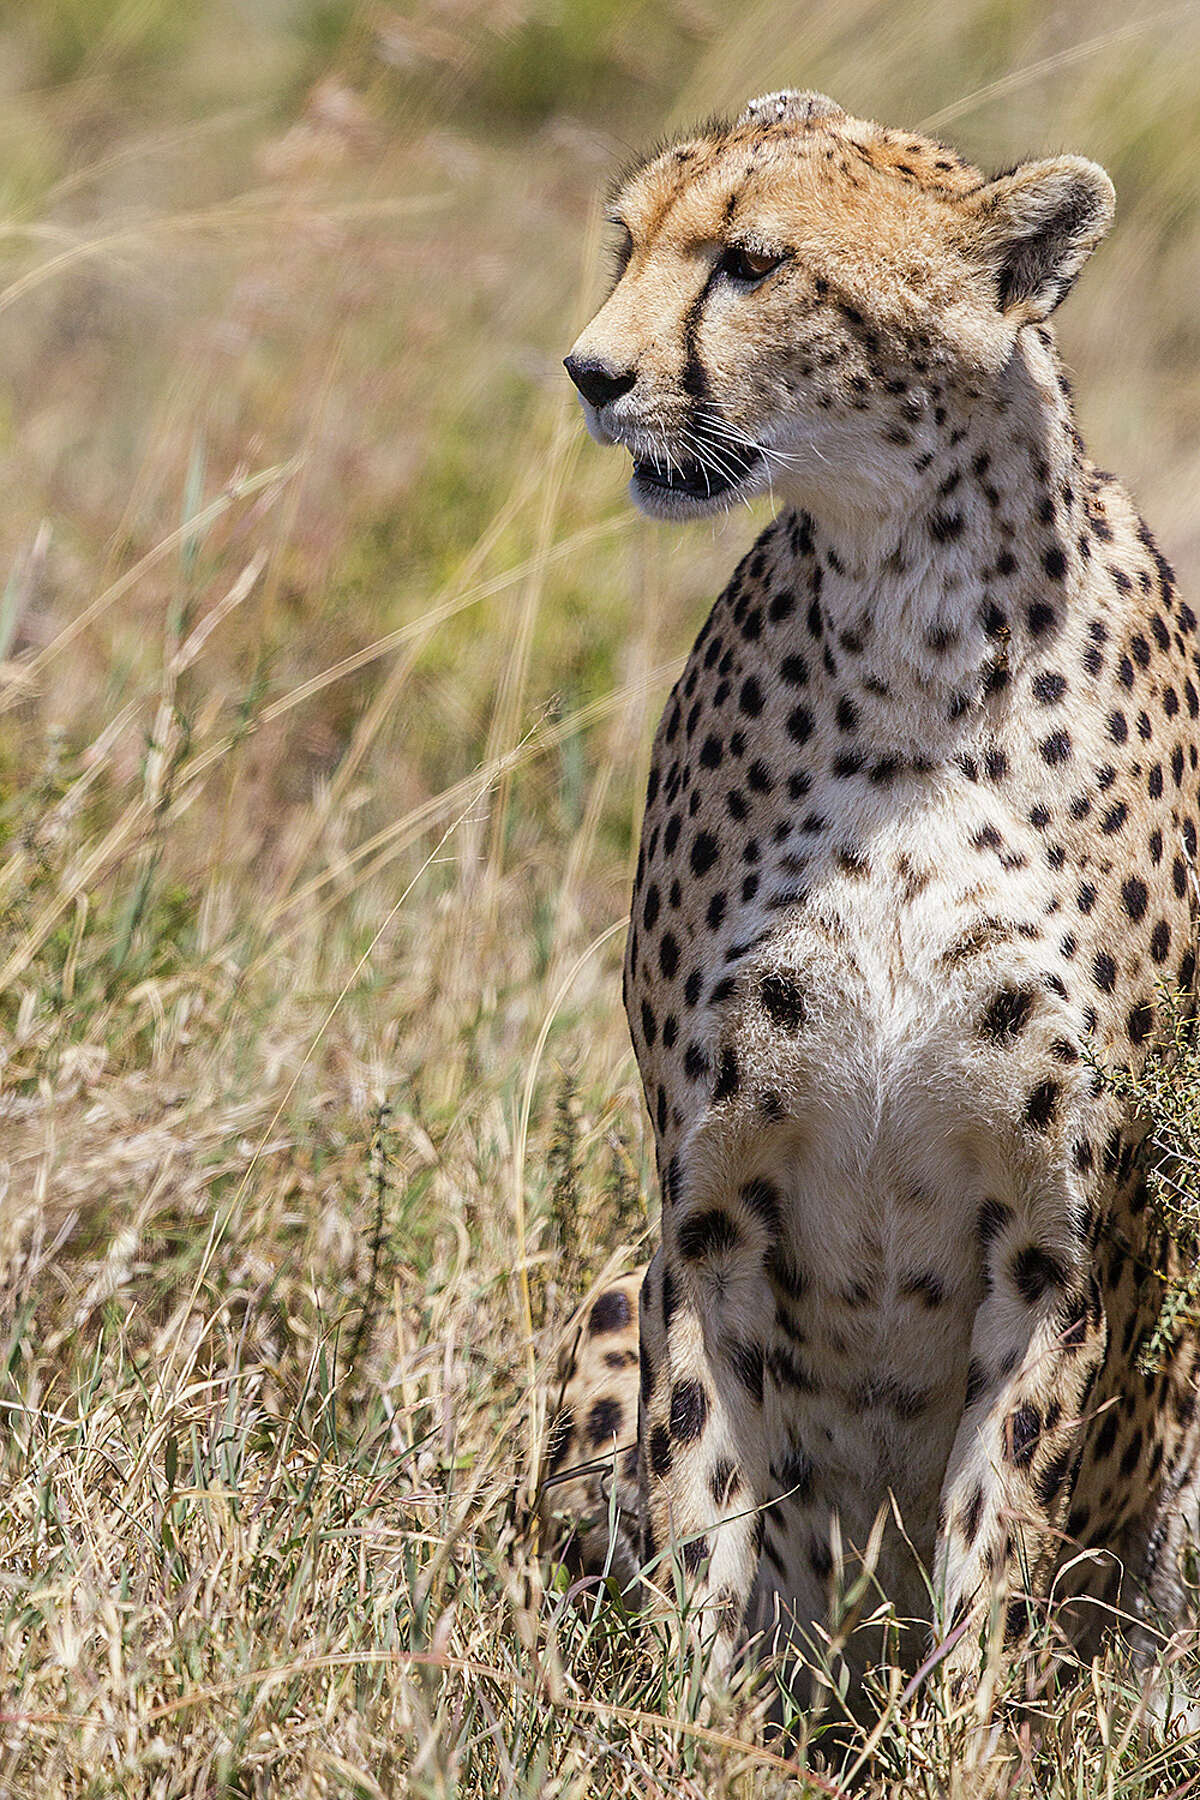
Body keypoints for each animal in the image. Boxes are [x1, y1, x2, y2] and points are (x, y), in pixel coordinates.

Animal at [540, 88, 1200, 1720]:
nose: (590, 373)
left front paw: (965, 1742)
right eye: (628, 240)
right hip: (609, 1290)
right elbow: (710, 1510)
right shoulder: (708, 1203)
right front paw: (704, 1736)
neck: (913, 625)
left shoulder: (1064, 1235)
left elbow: (1000, 1552)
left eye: (754, 263)